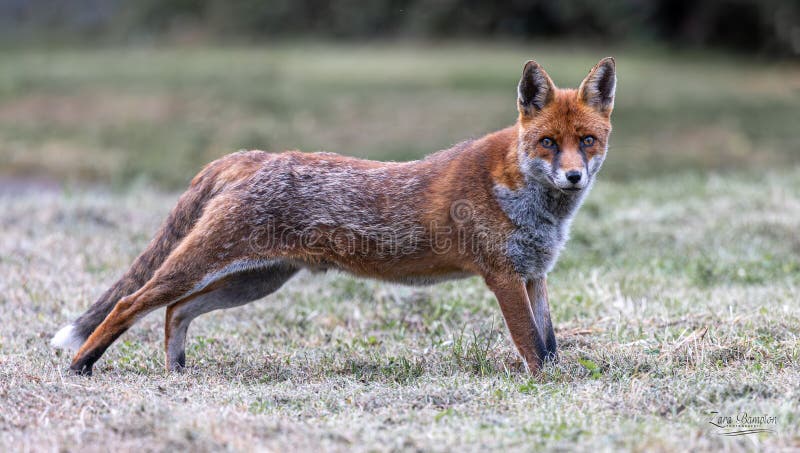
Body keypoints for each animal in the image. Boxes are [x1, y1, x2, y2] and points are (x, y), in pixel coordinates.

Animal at [51, 57, 616, 376]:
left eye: (587, 140)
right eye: (548, 143)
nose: (573, 177)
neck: (534, 204)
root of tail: (252, 155)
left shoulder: (534, 274)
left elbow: (550, 343)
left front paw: (561, 382)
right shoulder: (502, 276)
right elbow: (531, 345)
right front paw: (544, 388)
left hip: (255, 281)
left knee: (175, 312)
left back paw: (176, 373)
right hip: (208, 266)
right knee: (130, 303)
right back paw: (81, 366)